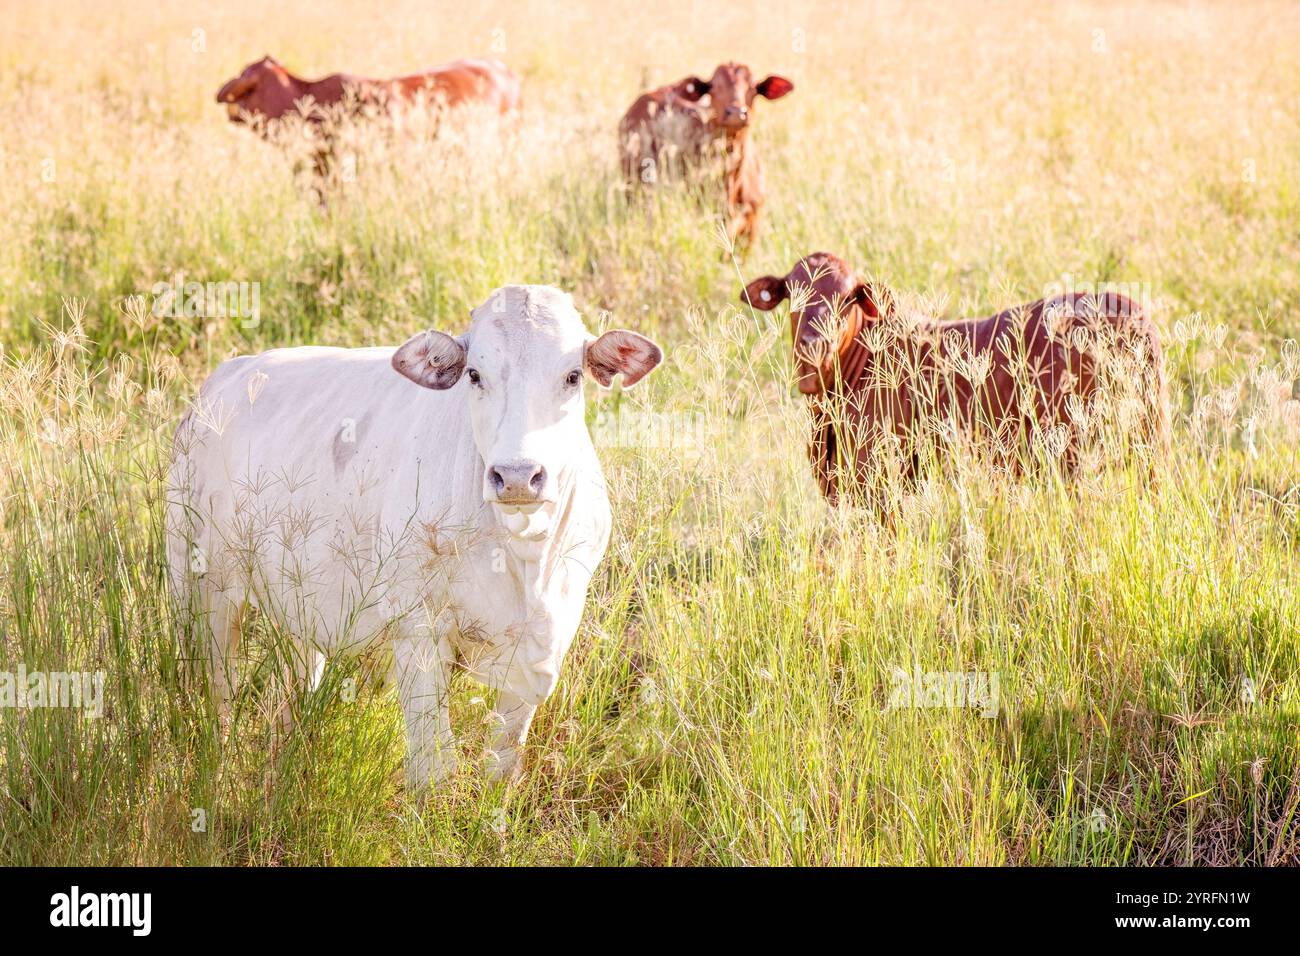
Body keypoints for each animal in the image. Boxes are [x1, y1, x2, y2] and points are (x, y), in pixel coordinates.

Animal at [166, 285, 663, 788]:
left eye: (573, 375)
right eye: (474, 374)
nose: (517, 477)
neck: (523, 554)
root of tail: (225, 376)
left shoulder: (547, 639)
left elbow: (502, 762)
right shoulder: (416, 629)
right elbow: (435, 767)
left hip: (297, 603)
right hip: (201, 588)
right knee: (216, 697)